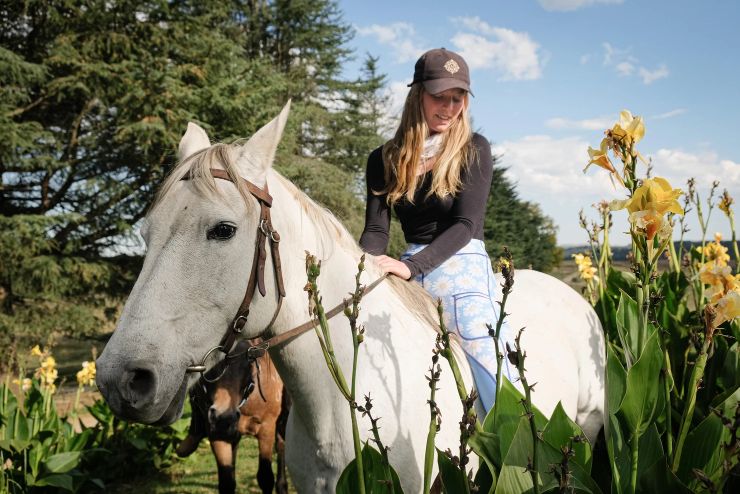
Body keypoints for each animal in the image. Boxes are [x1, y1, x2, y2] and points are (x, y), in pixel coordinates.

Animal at [175, 340, 289, 494]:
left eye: (249, 362)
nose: (224, 419)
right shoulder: (217, 436)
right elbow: (227, 483)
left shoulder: (266, 429)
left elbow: (265, 478)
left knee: (281, 445)